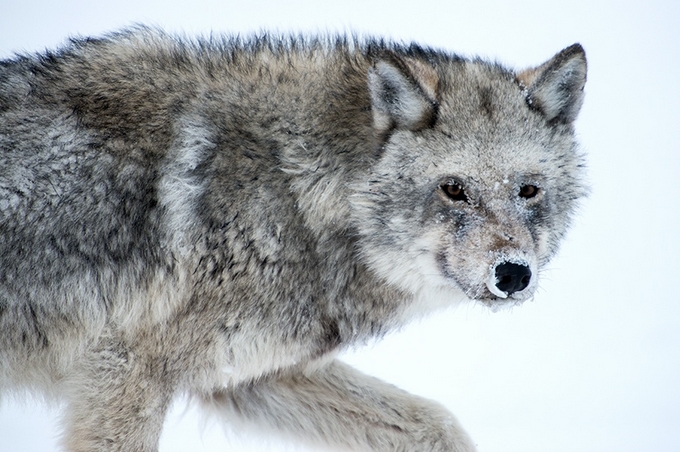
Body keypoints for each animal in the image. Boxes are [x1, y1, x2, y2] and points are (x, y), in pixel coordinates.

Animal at [0, 27, 587, 451]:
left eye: (528, 190)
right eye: (454, 190)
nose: (512, 273)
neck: (296, 190)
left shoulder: (248, 377)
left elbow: (436, 423)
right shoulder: (126, 371)